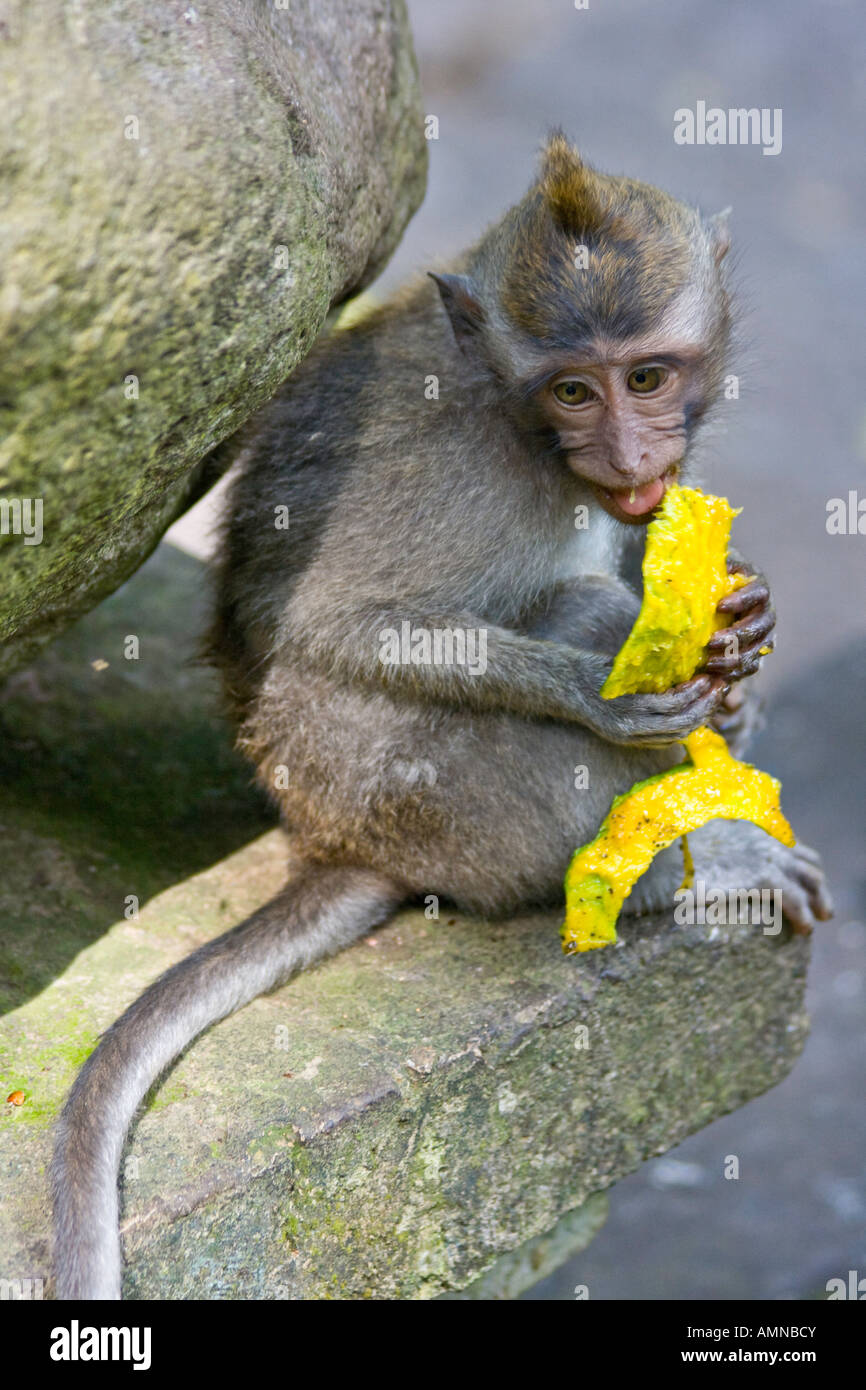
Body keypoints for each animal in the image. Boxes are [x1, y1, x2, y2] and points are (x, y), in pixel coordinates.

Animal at [51, 134, 832, 1300]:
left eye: (647, 377)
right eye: (573, 391)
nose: (632, 456)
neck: (516, 424)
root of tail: (326, 838)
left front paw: (746, 613)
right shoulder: (455, 469)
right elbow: (343, 626)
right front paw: (601, 698)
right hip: (437, 805)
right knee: (576, 625)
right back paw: (679, 876)